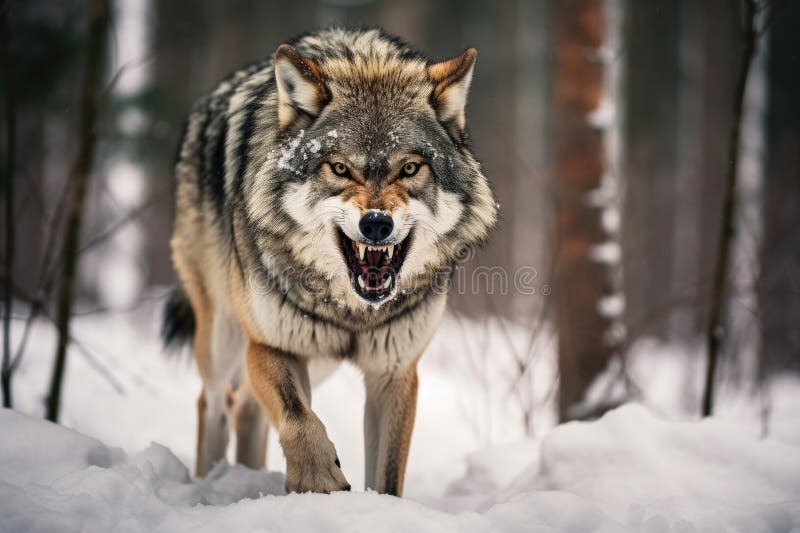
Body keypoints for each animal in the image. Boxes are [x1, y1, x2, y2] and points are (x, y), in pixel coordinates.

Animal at [162, 28, 496, 496]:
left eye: (410, 168)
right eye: (339, 168)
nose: (376, 224)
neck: (354, 312)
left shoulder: (395, 373)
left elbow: (387, 475)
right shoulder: (271, 345)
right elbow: (299, 417)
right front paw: (318, 478)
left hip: (317, 359)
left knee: (245, 405)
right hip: (223, 336)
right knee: (213, 402)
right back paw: (206, 482)